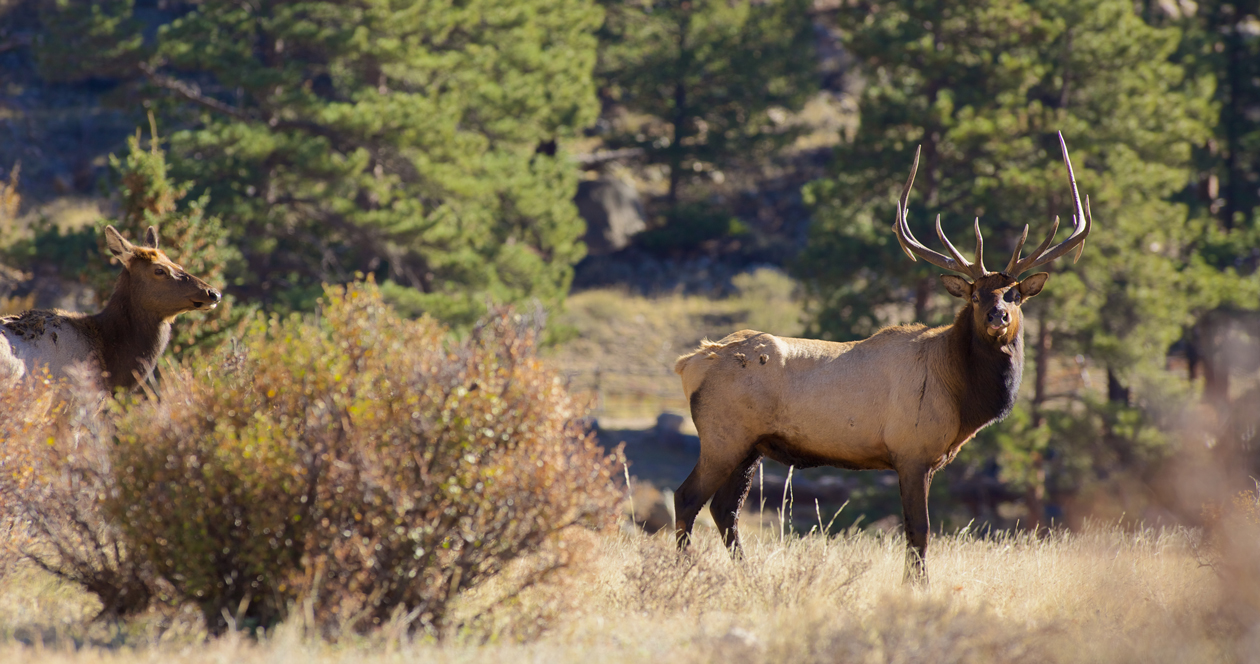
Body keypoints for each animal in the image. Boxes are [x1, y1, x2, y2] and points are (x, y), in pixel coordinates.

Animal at [672, 133, 1091, 583]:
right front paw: (917, 586)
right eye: (977, 295)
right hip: (722, 436)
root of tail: (690, 363)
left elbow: (912, 532)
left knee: (724, 509)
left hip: (750, 446)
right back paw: (681, 569)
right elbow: (918, 531)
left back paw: (747, 576)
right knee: (687, 497)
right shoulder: (911, 450)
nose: (998, 317)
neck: (963, 397)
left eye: (1013, 295)